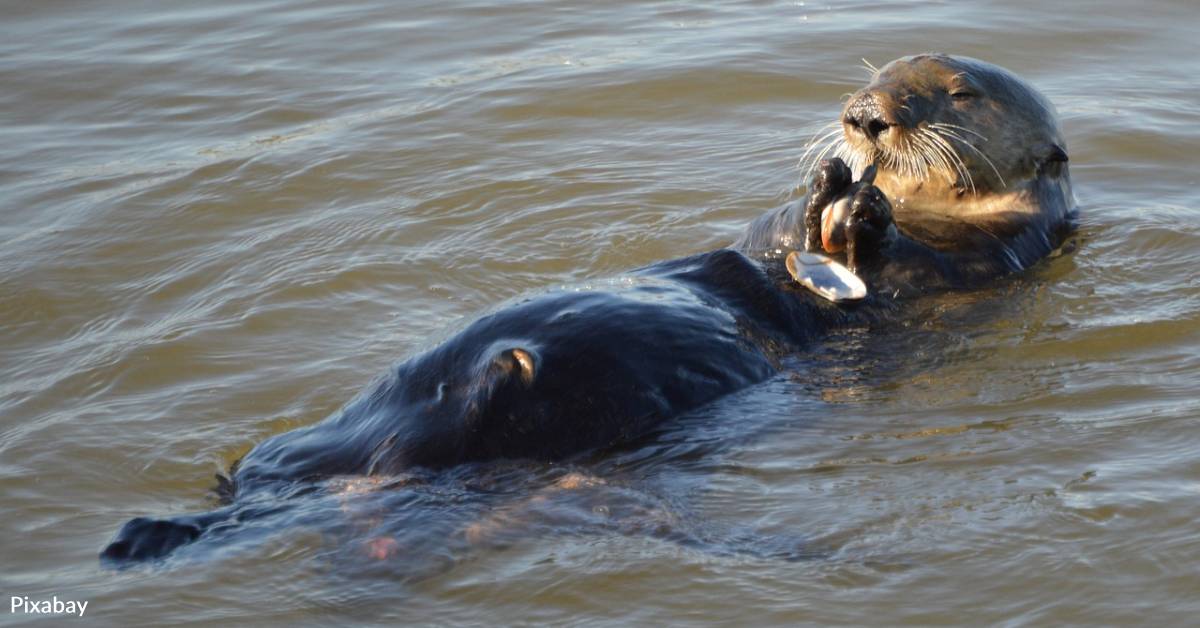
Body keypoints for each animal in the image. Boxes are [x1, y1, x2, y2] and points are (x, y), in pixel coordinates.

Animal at [102, 54, 1076, 563]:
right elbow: (769, 231)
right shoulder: (769, 227)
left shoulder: (994, 259)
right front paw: (825, 190)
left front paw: (860, 218)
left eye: (958, 93)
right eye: (878, 74)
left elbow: (914, 267)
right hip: (315, 443)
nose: (864, 115)